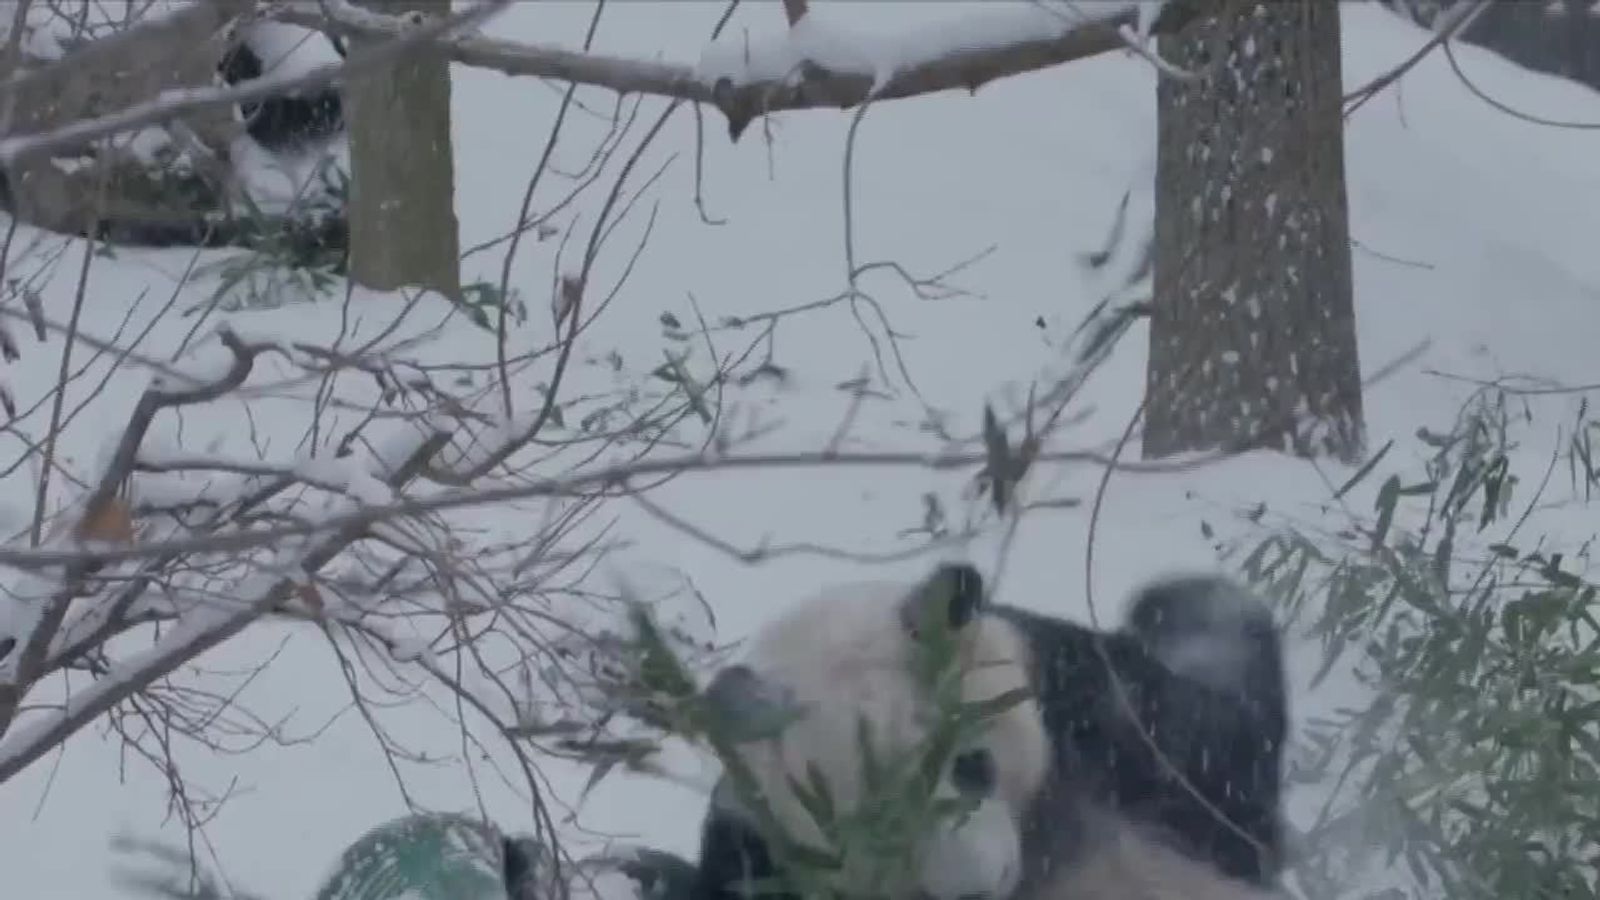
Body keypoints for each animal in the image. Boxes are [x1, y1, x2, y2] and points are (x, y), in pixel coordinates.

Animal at [625, 561, 1289, 900]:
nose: (979, 887)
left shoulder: (1089, 716)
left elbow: (1223, 774)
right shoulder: (761, 847)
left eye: (973, 765)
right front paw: (652, 872)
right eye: (879, 826)